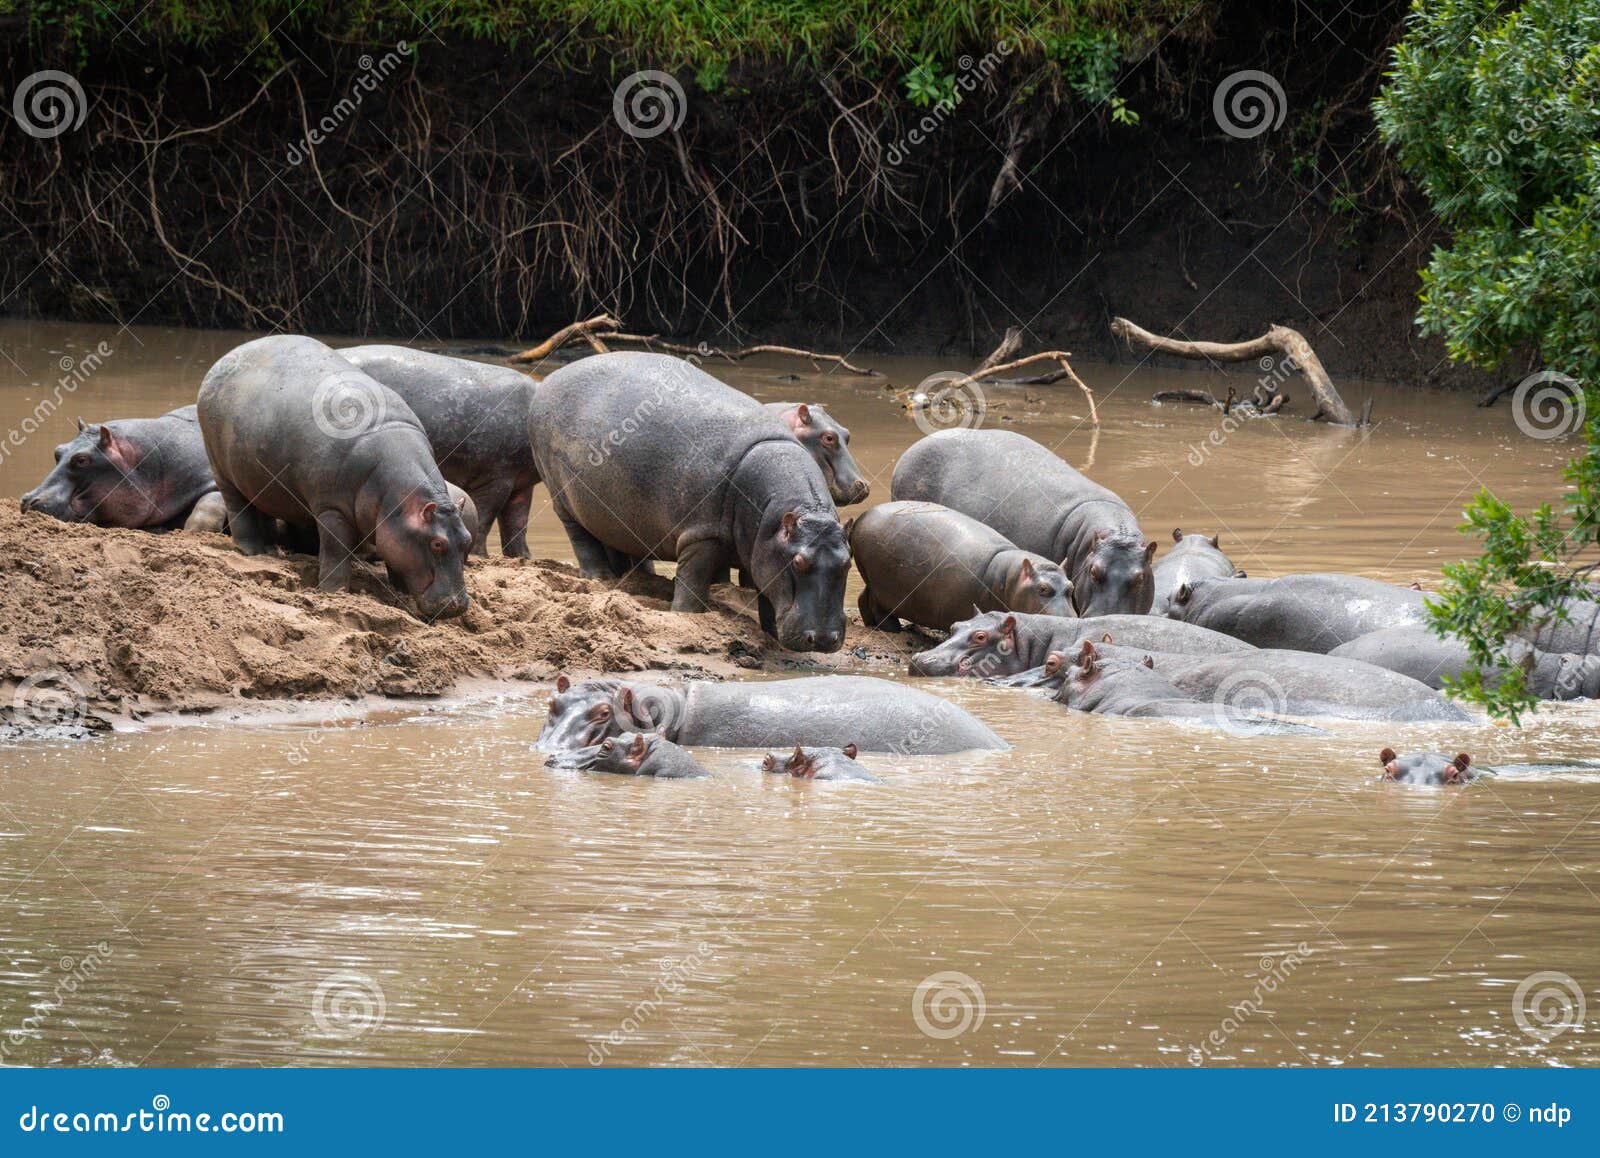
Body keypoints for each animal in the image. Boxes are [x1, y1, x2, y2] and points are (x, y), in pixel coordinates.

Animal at [197, 335, 473, 620]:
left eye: (468, 541)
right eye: (437, 544)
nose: (458, 605)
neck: (398, 499)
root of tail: (226, 357)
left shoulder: (394, 527)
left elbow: (396, 556)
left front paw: (400, 591)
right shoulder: (332, 509)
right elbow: (335, 551)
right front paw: (334, 592)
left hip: (259, 479)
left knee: (263, 507)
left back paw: (273, 549)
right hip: (222, 470)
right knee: (239, 510)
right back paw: (251, 551)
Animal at [339, 345, 538, 557]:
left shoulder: (521, 484)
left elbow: (517, 523)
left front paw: (524, 557)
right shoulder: (497, 478)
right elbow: (485, 516)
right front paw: (480, 555)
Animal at [529, 353, 849, 651]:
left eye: (847, 563)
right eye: (798, 561)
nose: (823, 639)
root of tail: (549, 380)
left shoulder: (764, 551)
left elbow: (767, 595)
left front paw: (771, 634)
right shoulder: (701, 535)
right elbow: (693, 579)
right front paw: (685, 615)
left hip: (610, 511)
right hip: (561, 497)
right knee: (581, 537)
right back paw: (600, 577)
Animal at [849, 501, 1074, 632]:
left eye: (1071, 587)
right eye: (1043, 589)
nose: (1070, 621)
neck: (1008, 578)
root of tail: (862, 517)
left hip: (871, 580)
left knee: (862, 597)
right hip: (880, 585)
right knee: (878, 606)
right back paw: (894, 629)